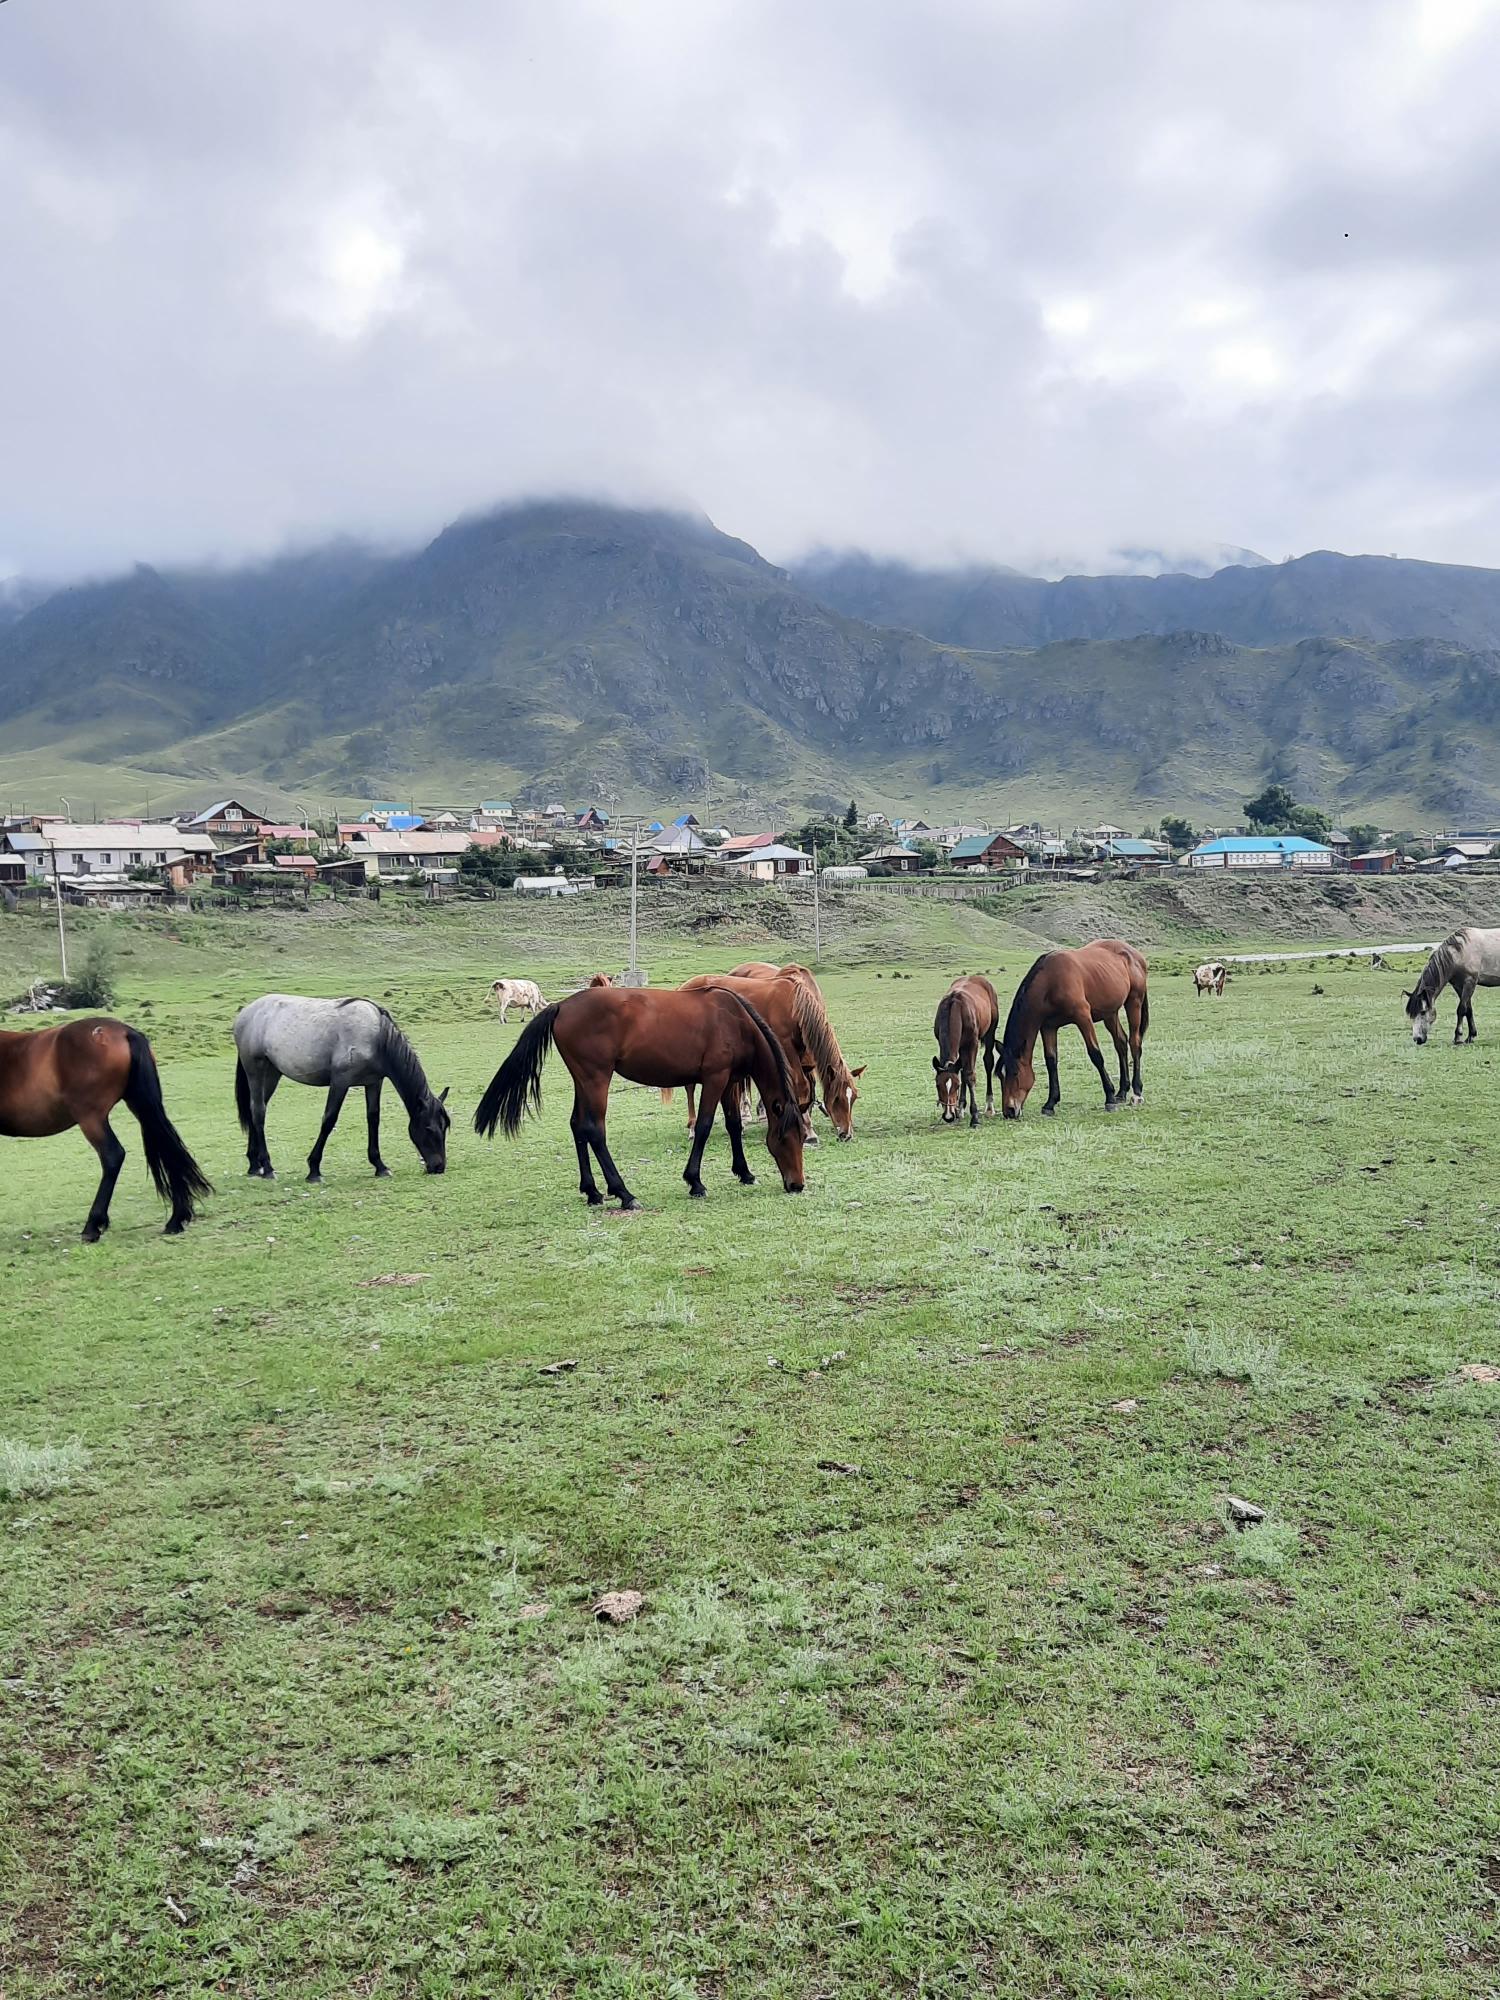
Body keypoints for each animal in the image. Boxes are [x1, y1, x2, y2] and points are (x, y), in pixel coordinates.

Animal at [0, 1024, 214, 1240]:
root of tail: (124, 1031)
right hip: (139, 1105)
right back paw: (177, 1218)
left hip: (91, 1118)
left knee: (113, 1155)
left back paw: (93, 1226)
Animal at [235, 992, 452, 1176]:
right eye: (428, 1128)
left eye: (445, 1128)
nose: (438, 1167)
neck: (376, 1037)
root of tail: (246, 1013)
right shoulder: (341, 1082)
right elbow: (329, 1119)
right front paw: (314, 1169)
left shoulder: (374, 1082)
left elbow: (373, 1118)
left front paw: (380, 1166)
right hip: (255, 1070)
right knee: (259, 1112)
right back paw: (268, 1168)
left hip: (272, 1074)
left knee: (256, 1109)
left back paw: (254, 1165)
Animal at [478, 984, 812, 1200]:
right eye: (784, 1138)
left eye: (801, 1137)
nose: (797, 1184)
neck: (735, 1020)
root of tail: (561, 1006)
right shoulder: (714, 1078)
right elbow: (704, 1126)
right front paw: (695, 1182)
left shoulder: (729, 1080)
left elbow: (733, 1125)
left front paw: (744, 1173)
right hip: (596, 1079)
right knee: (594, 1129)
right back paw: (623, 1192)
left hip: (582, 1081)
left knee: (577, 1126)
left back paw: (593, 1191)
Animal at [936, 972, 1004, 1128]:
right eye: (938, 1086)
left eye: (956, 1086)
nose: (948, 1116)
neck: (954, 1009)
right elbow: (962, 1072)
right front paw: (959, 1109)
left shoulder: (972, 1044)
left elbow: (970, 1076)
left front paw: (975, 1117)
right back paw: (961, 1107)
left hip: (989, 1033)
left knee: (988, 1061)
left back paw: (989, 1106)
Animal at [1004, 940, 1160, 1120]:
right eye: (1000, 1075)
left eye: (1015, 1073)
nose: (1009, 1111)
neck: (1050, 982)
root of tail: (1134, 953)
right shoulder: (1048, 1027)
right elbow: (1051, 1061)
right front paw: (1050, 1103)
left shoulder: (1083, 1017)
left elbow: (1096, 1055)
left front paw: (1109, 1098)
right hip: (1110, 1013)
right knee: (1121, 1043)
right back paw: (1122, 1092)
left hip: (1134, 1002)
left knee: (1135, 1043)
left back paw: (1136, 1092)